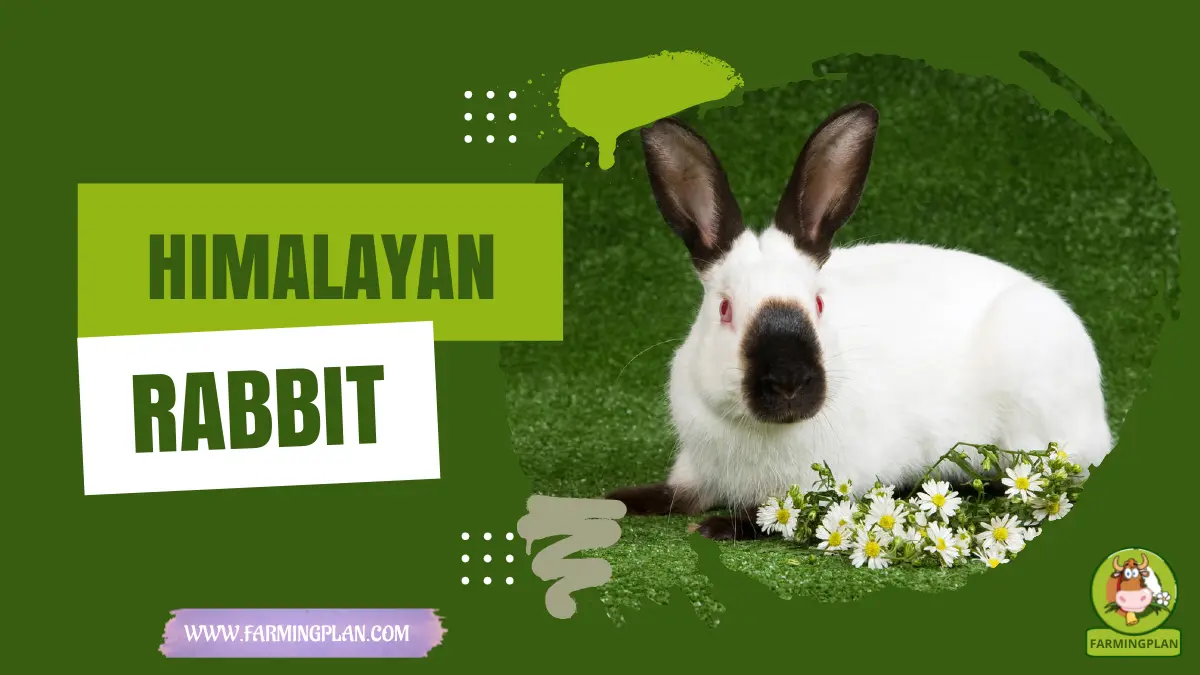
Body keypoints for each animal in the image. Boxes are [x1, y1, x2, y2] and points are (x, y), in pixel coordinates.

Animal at [604, 101, 1114, 540]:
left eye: (818, 304)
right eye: (725, 309)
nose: (789, 382)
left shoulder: (829, 483)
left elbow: (773, 516)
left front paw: (717, 527)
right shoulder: (696, 469)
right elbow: (673, 494)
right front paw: (617, 500)